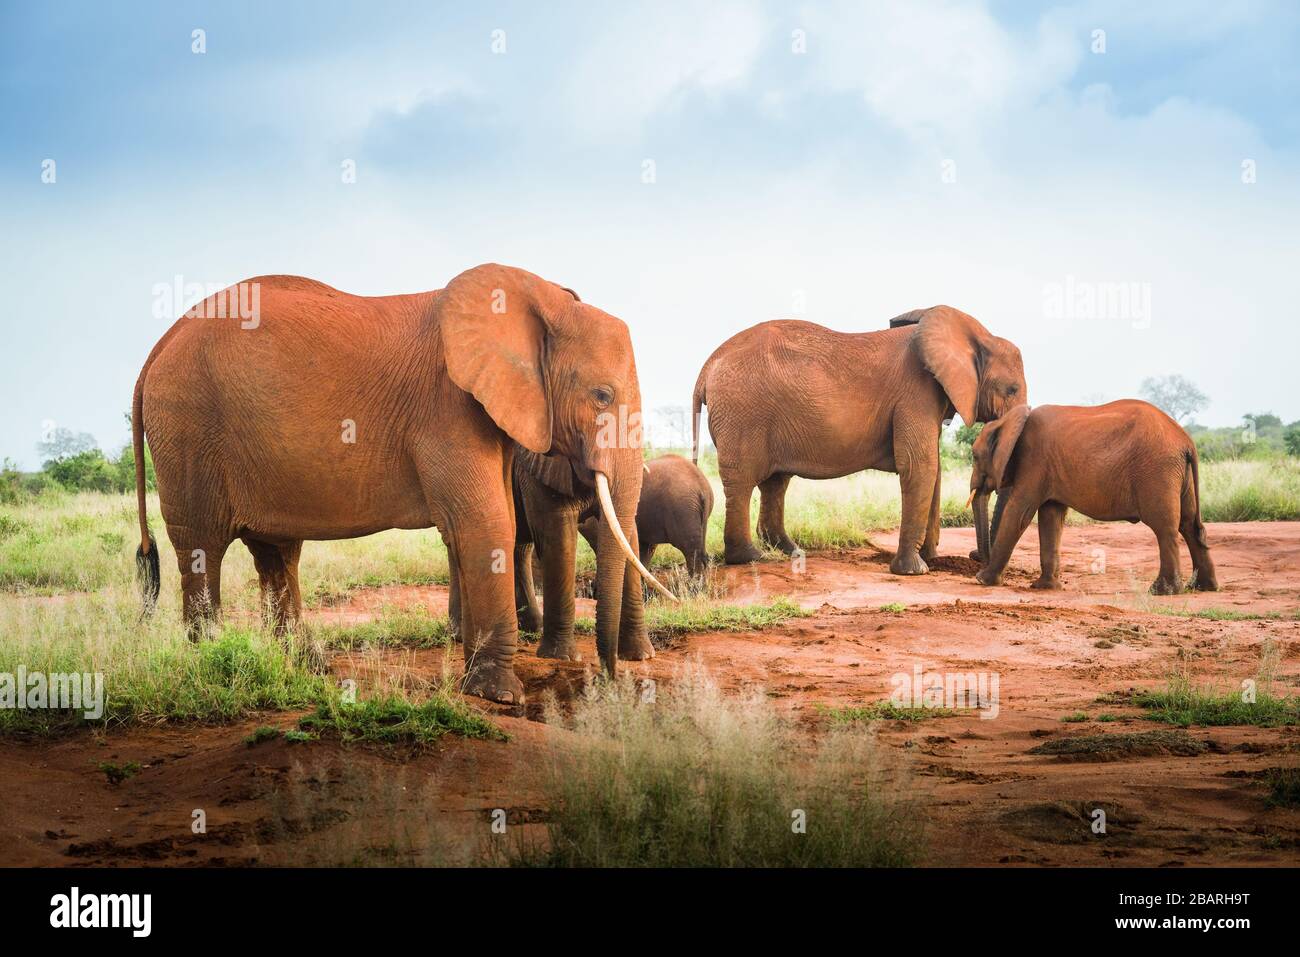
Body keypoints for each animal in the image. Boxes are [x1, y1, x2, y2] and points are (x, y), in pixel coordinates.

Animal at [131, 263, 675, 704]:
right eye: (602, 395)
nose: (607, 678)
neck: (542, 299)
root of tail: (160, 344)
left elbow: (485, 521)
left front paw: (476, 682)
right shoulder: (448, 406)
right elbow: (485, 522)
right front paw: (502, 695)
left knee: (277, 553)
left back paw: (306, 666)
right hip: (188, 430)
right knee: (202, 546)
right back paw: (210, 663)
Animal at [691, 307, 1027, 574]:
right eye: (1011, 389)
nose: (975, 556)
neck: (974, 336)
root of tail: (707, 366)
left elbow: (934, 468)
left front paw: (931, 559)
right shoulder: (915, 394)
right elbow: (919, 465)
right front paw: (914, 570)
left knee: (776, 482)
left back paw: (790, 551)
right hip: (742, 413)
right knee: (743, 481)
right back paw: (750, 558)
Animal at [969, 401, 1218, 595]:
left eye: (973, 455)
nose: (975, 558)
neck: (1010, 420)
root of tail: (1187, 442)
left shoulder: (1034, 461)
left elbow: (1019, 513)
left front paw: (983, 580)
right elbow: (1051, 517)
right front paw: (1045, 587)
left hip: (1158, 470)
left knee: (1165, 527)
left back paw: (1162, 592)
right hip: (1179, 474)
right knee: (1189, 525)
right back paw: (1202, 587)